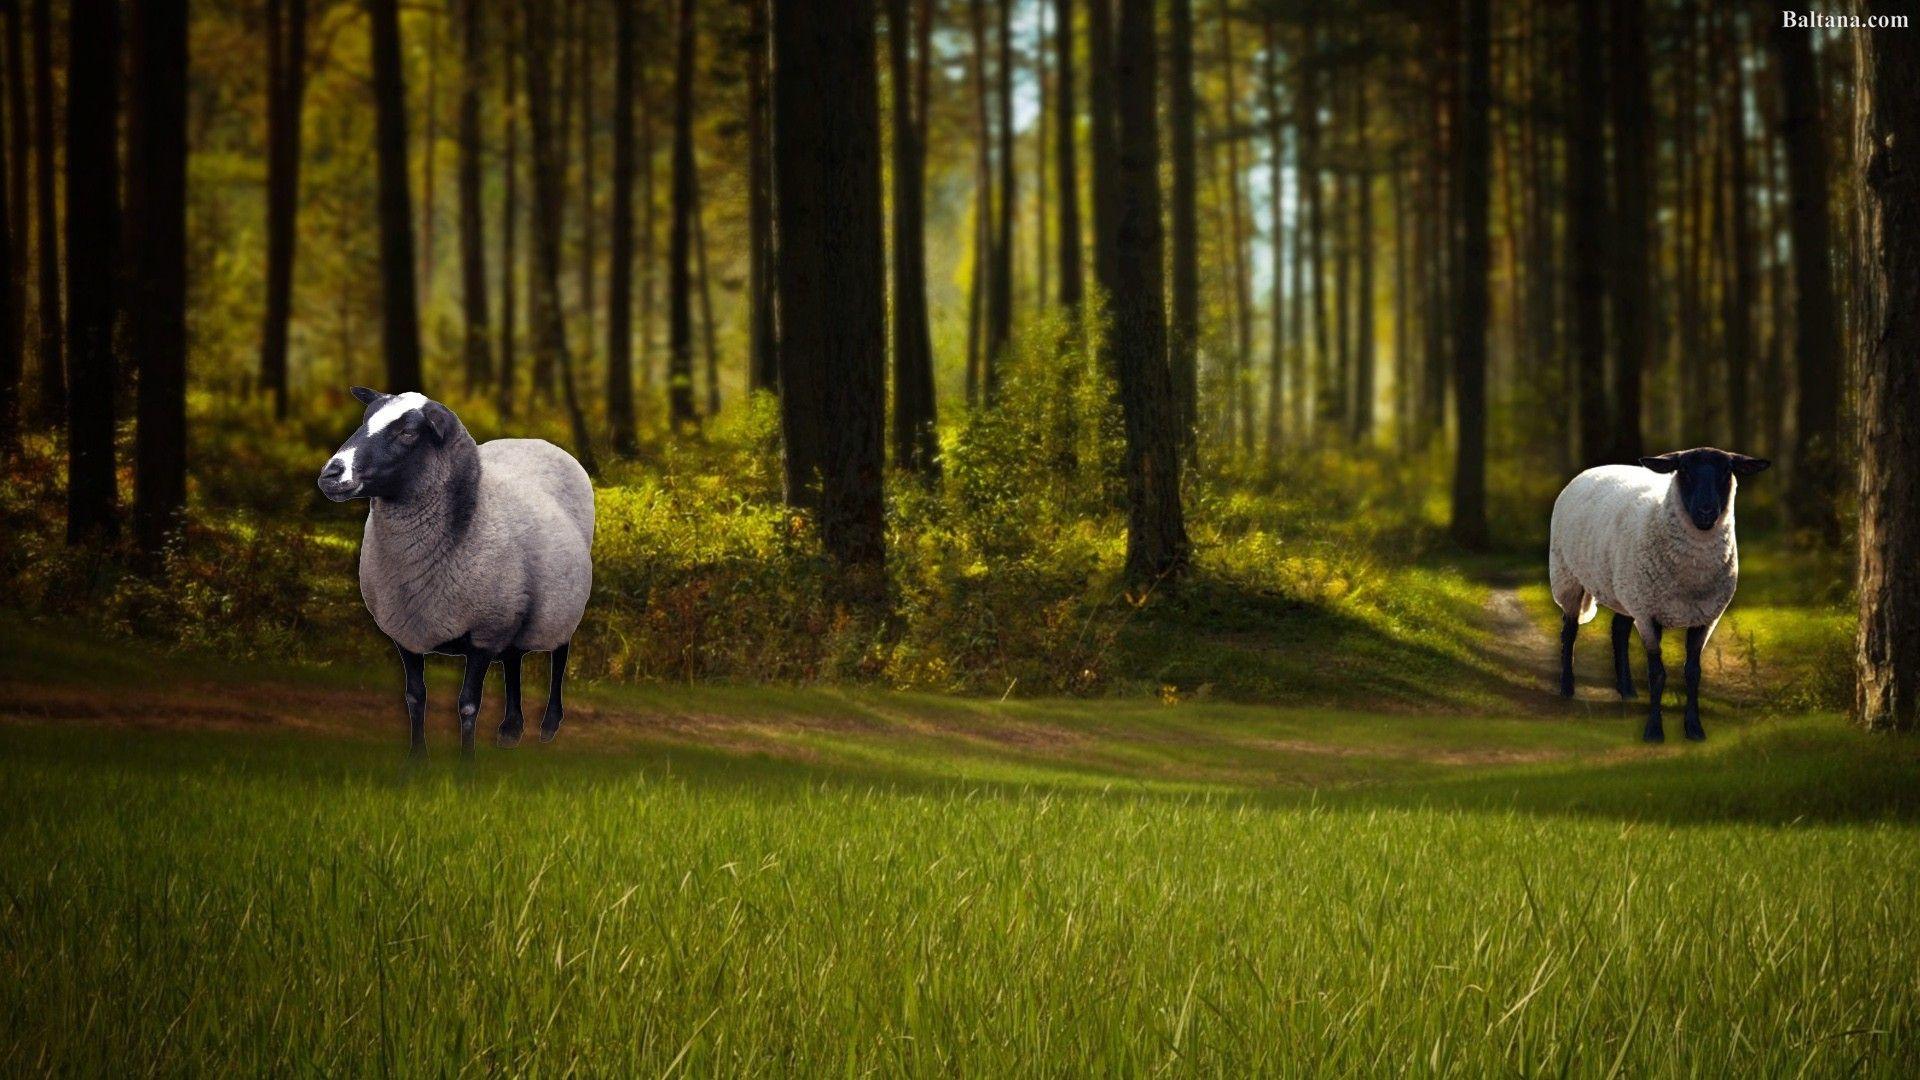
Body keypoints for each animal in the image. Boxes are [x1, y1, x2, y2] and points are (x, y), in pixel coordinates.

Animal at [318, 388, 595, 755]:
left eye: (408, 432)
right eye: (365, 420)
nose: (330, 475)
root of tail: (536, 440)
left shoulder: (483, 633)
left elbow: (467, 705)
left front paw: (466, 763)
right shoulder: (407, 631)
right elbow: (415, 698)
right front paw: (416, 758)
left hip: (557, 603)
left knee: (560, 654)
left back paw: (549, 724)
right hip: (514, 603)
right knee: (513, 659)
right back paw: (510, 728)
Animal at [1548, 448, 1770, 742]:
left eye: (1726, 471)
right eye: (1684, 470)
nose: (1706, 510)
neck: (1692, 577)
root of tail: (1591, 469)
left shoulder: (1705, 617)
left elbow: (1692, 673)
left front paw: (1694, 729)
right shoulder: (1649, 615)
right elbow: (1657, 674)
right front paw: (1653, 730)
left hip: (1627, 590)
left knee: (1618, 631)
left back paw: (1627, 690)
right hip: (1568, 576)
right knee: (1569, 631)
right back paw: (1567, 687)